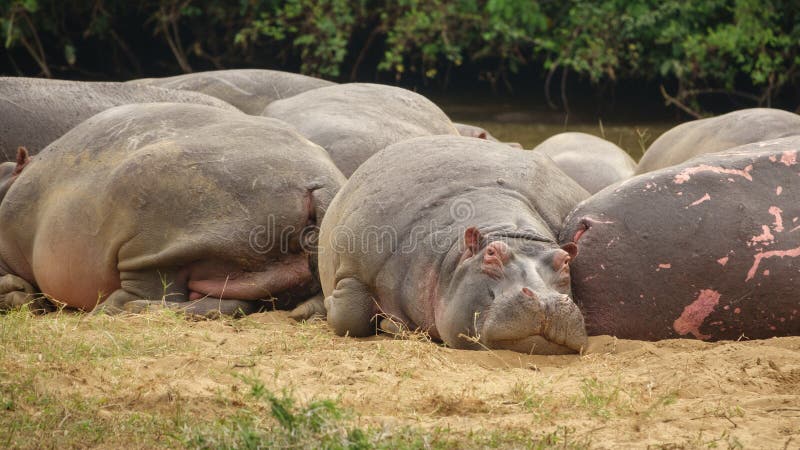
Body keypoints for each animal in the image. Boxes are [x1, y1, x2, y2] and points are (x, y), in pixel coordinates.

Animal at [319, 135, 590, 354]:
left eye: (565, 261)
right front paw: (329, 303)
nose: (547, 301)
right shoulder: (354, 267)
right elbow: (349, 316)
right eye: (491, 253)